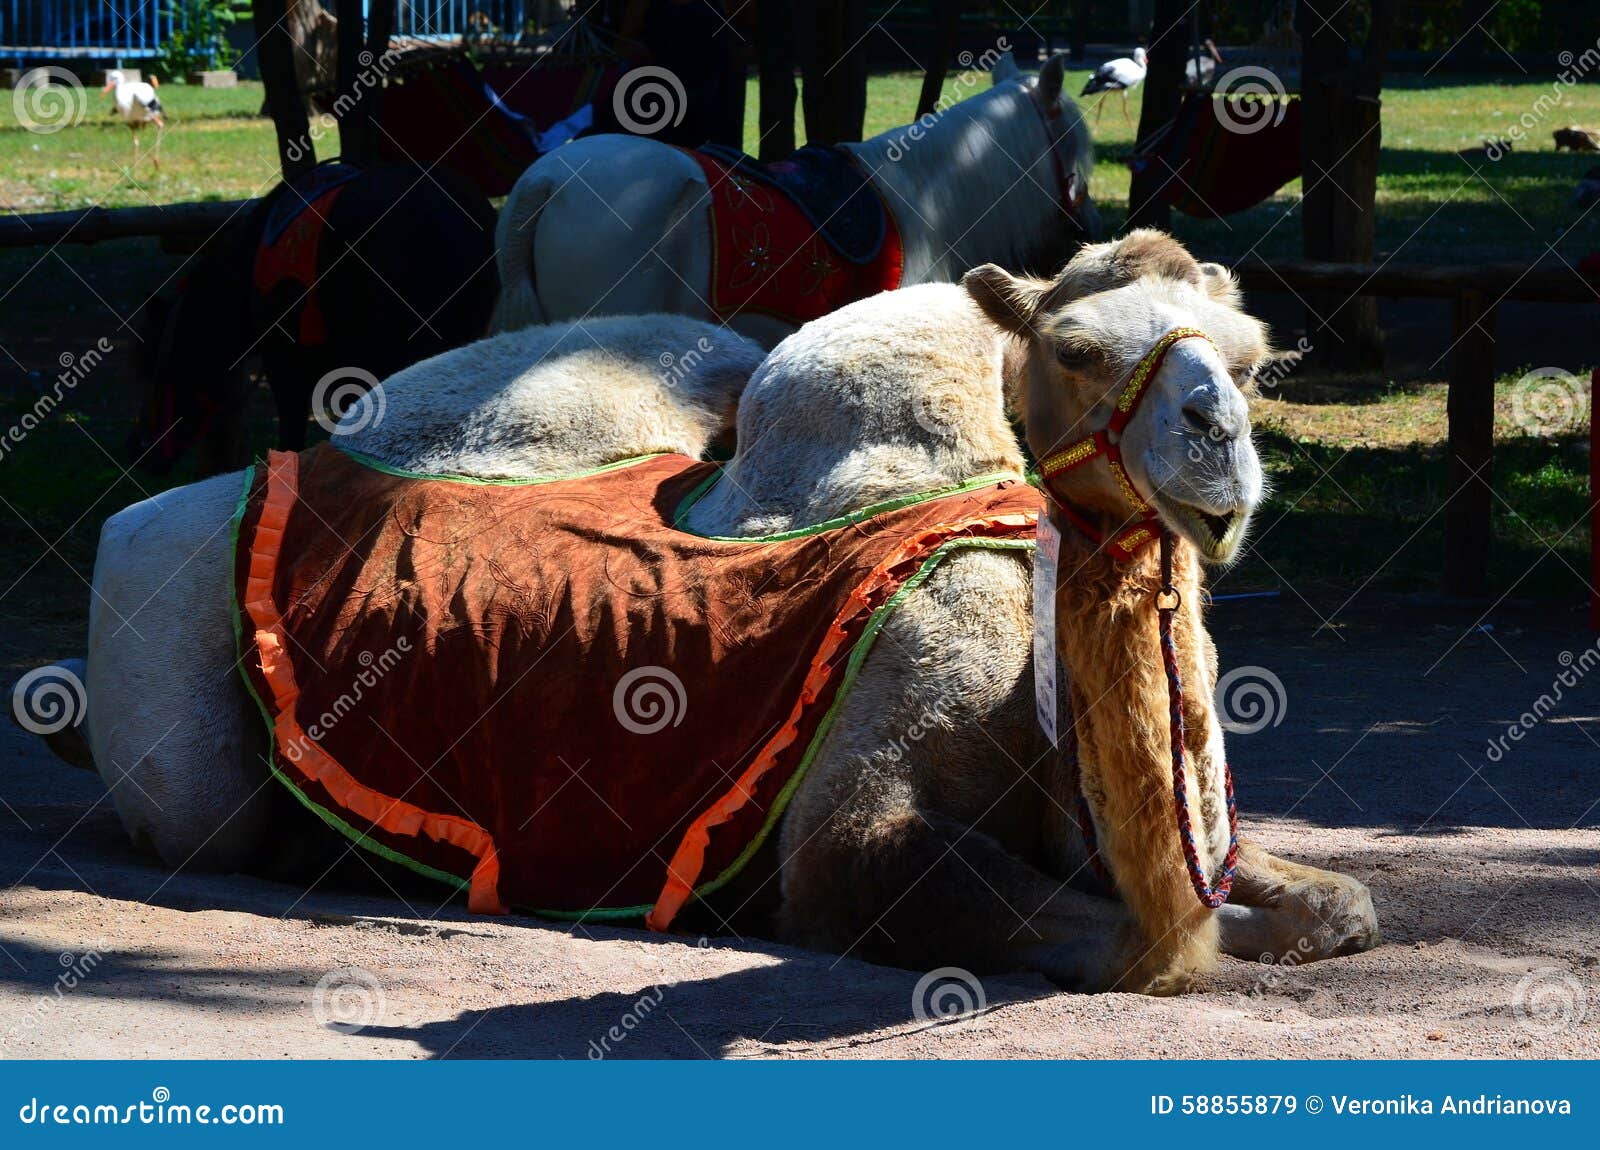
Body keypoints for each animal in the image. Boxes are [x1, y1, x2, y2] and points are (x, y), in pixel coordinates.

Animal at [24, 233, 1377, 993]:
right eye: (1081, 350)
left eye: (1251, 359)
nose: (1216, 442)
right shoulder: (851, 837)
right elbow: (1143, 939)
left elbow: (1338, 907)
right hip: (174, 678)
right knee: (199, 812)